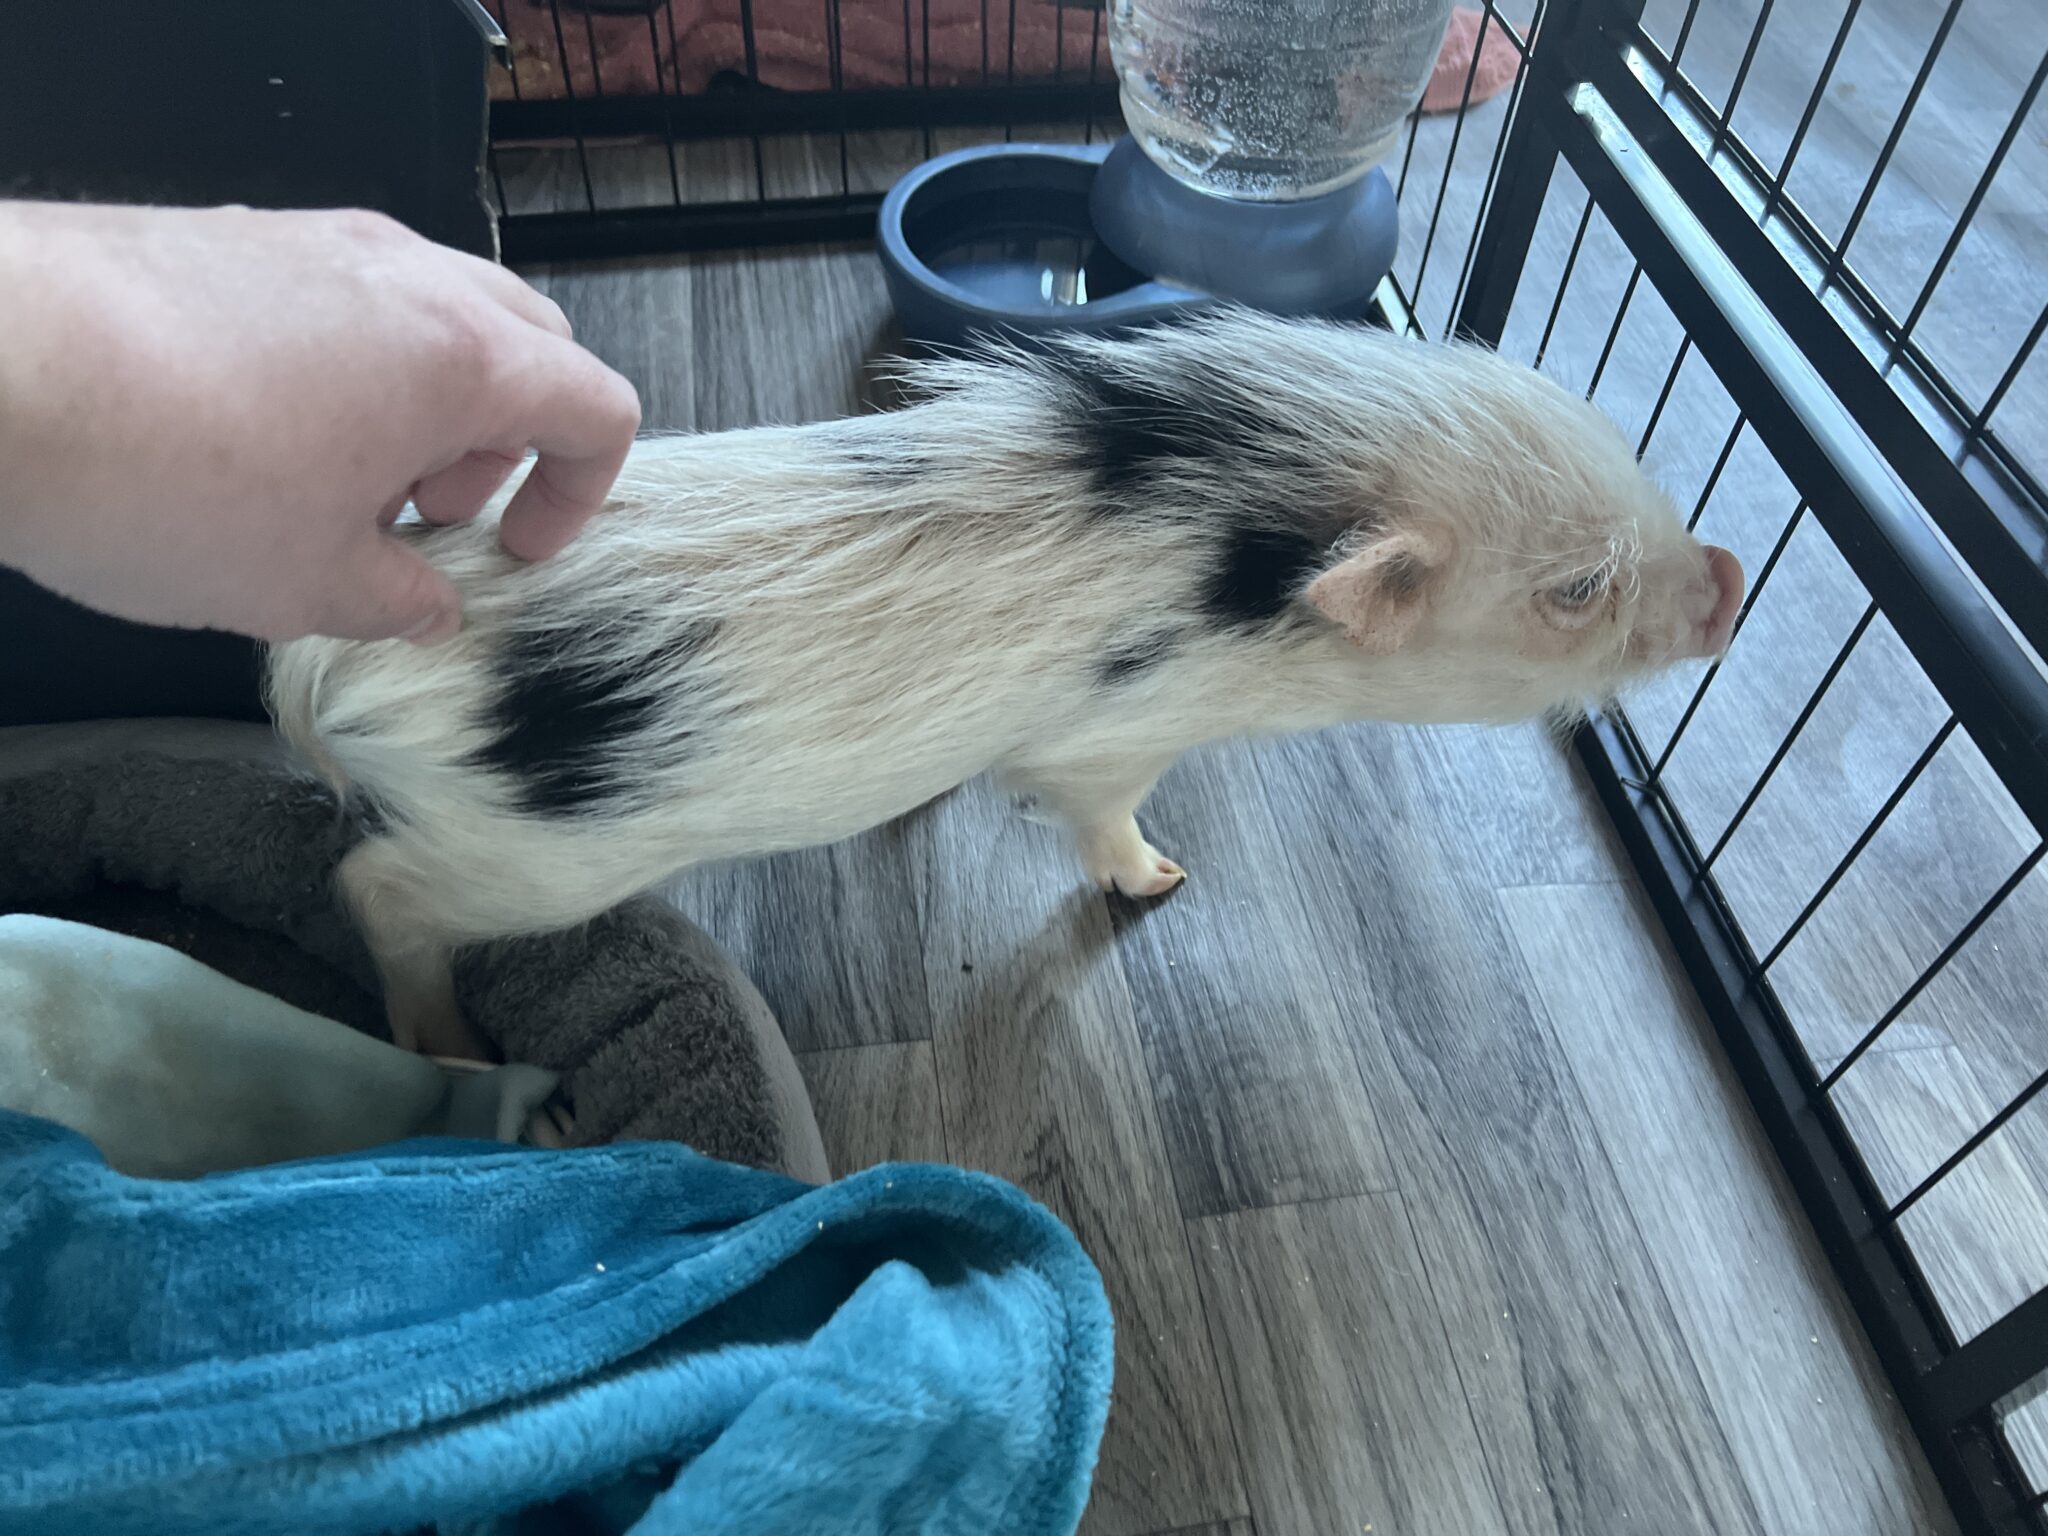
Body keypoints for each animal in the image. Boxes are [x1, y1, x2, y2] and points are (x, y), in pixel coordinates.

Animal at [266, 310, 1744, 1059]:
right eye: (1575, 590)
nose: (1729, 578)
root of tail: (325, 657)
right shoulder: (1118, 737)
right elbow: (1096, 816)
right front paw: (1164, 883)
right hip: (533, 855)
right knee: (374, 886)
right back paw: (451, 1049)